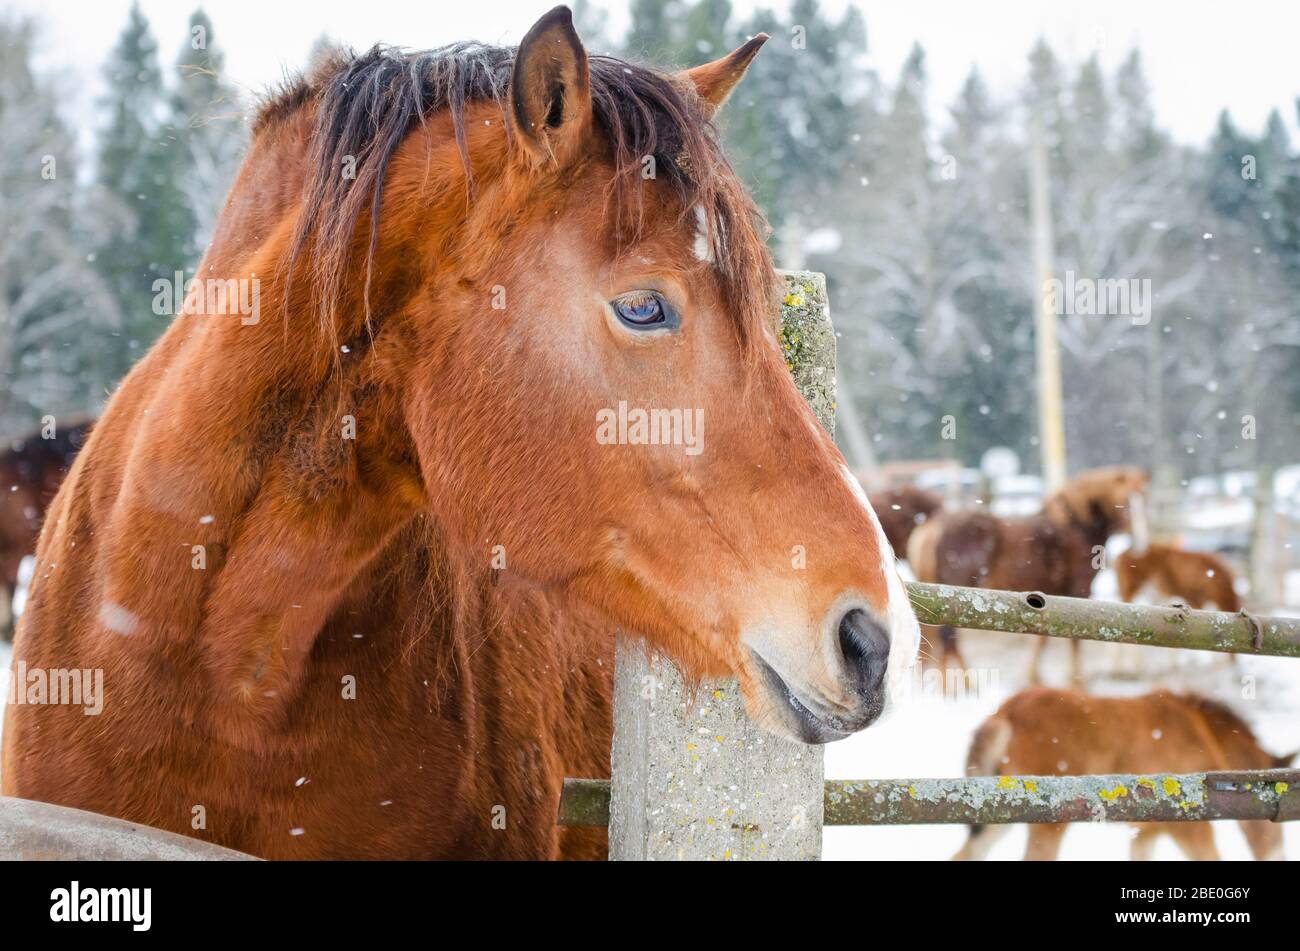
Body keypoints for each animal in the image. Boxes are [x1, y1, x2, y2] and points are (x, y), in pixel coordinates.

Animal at [907, 466, 1146, 680]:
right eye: (1125, 502)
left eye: (1143, 499)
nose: (1139, 543)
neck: (1075, 526)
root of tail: (931, 527)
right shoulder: (1079, 590)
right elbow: (1075, 639)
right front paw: (1076, 683)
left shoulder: (1050, 596)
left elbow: (1044, 635)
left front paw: (1035, 676)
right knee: (949, 640)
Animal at [954, 687, 1293, 861]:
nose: (1277, 855)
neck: (1201, 731)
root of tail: (1004, 713)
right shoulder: (1188, 828)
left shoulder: (1145, 831)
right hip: (1047, 825)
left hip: (999, 813)